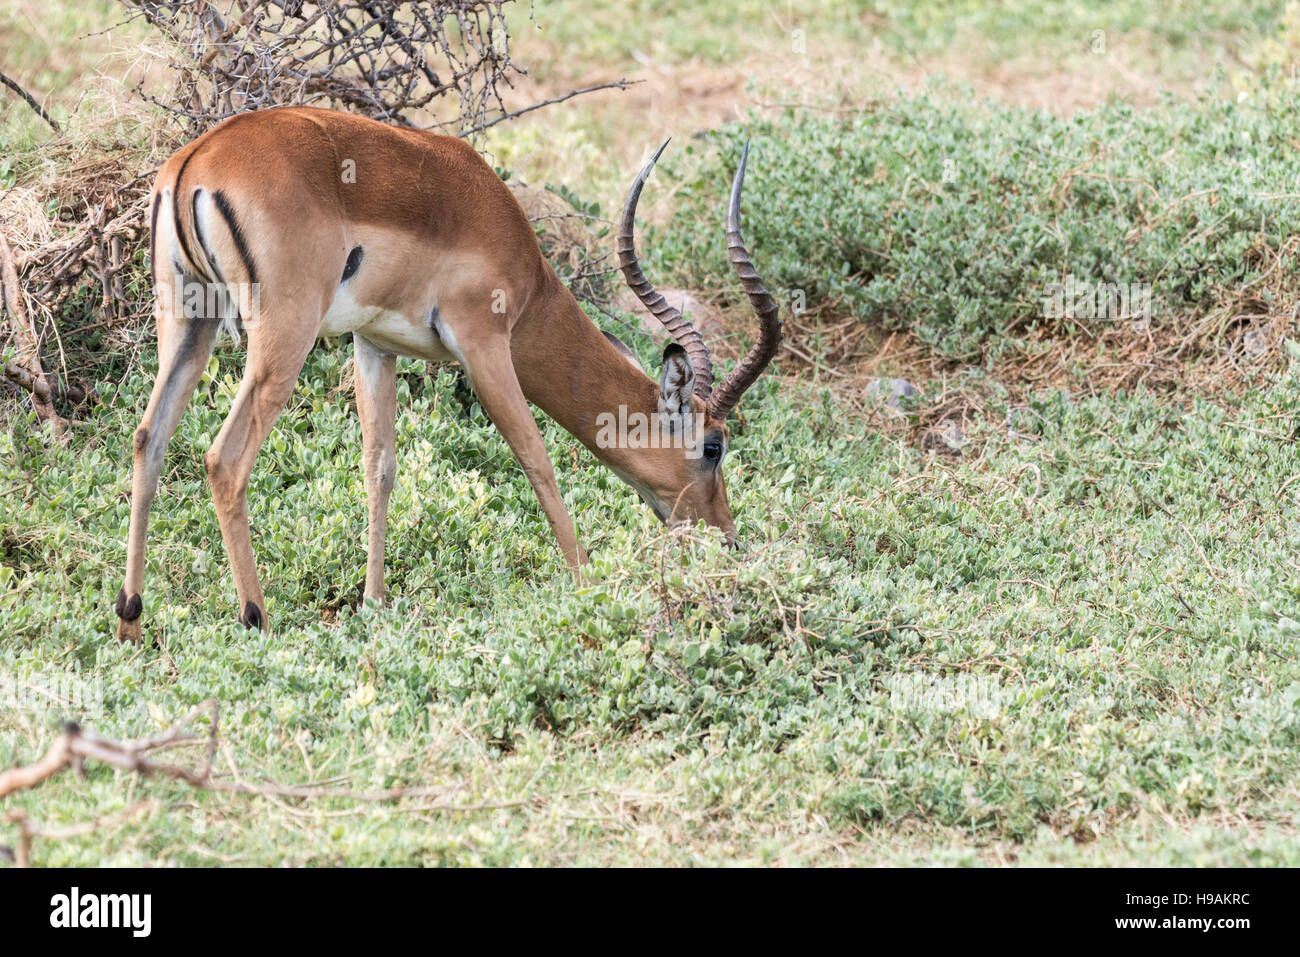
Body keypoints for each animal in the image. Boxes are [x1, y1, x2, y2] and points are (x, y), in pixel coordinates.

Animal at [114, 107, 781, 642]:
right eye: (714, 446)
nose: (726, 538)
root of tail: (196, 162)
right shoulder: (484, 345)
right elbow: (536, 458)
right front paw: (587, 585)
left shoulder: (373, 344)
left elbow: (379, 467)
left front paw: (374, 603)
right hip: (282, 338)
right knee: (224, 459)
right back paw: (257, 619)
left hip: (187, 323)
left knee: (149, 438)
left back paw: (130, 622)